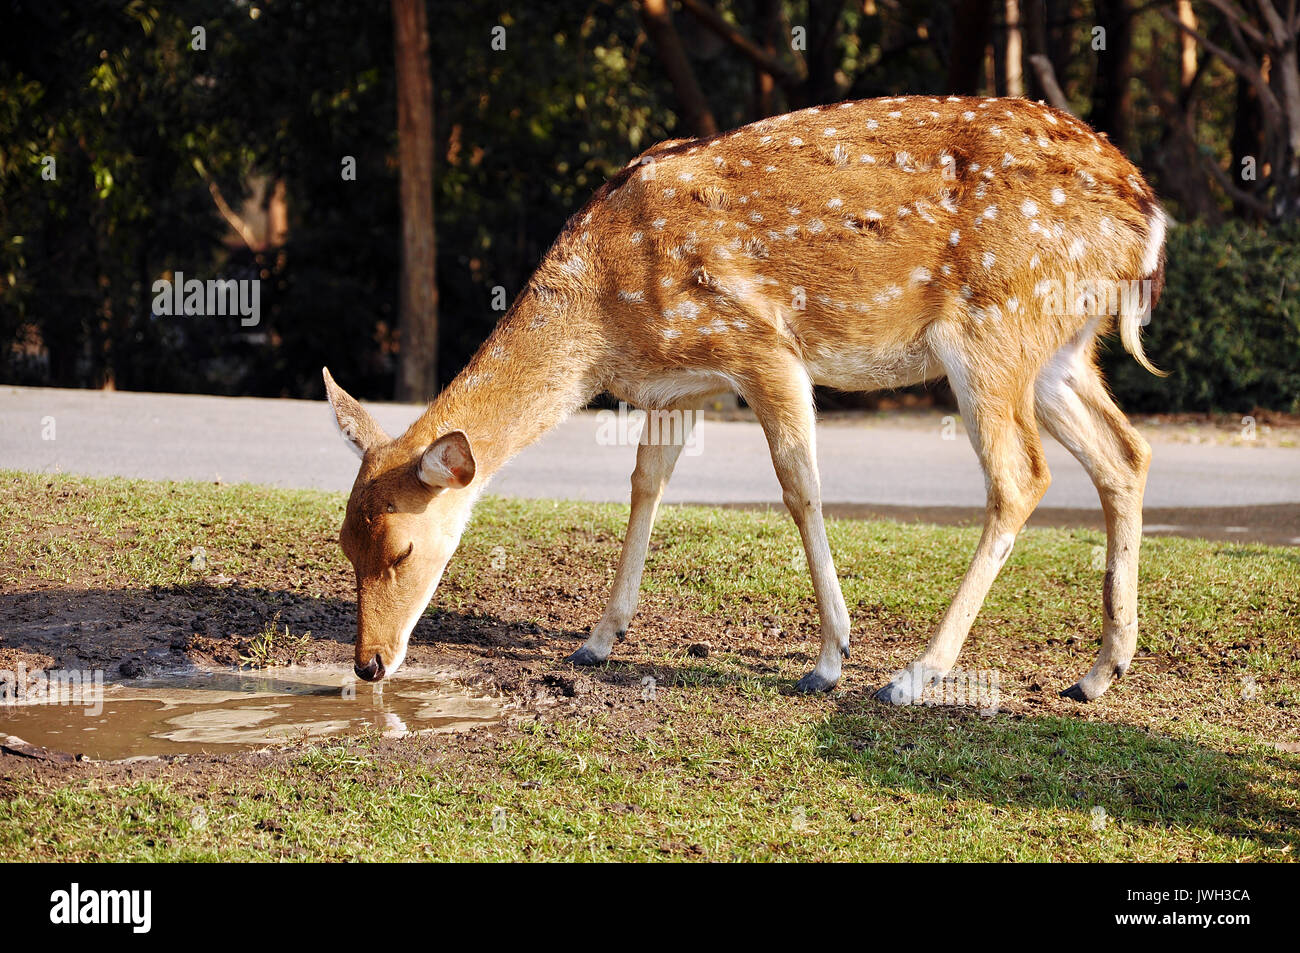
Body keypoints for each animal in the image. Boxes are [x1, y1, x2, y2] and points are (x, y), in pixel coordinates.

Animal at [324, 94, 1165, 705]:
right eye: (344, 544)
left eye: (401, 549)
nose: (369, 663)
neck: (605, 319)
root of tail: (1148, 219)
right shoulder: (678, 387)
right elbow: (645, 484)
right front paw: (597, 637)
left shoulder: (760, 345)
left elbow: (800, 486)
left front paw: (830, 658)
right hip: (1059, 350)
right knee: (1125, 452)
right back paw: (1098, 672)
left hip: (995, 326)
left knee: (1021, 475)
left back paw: (915, 675)